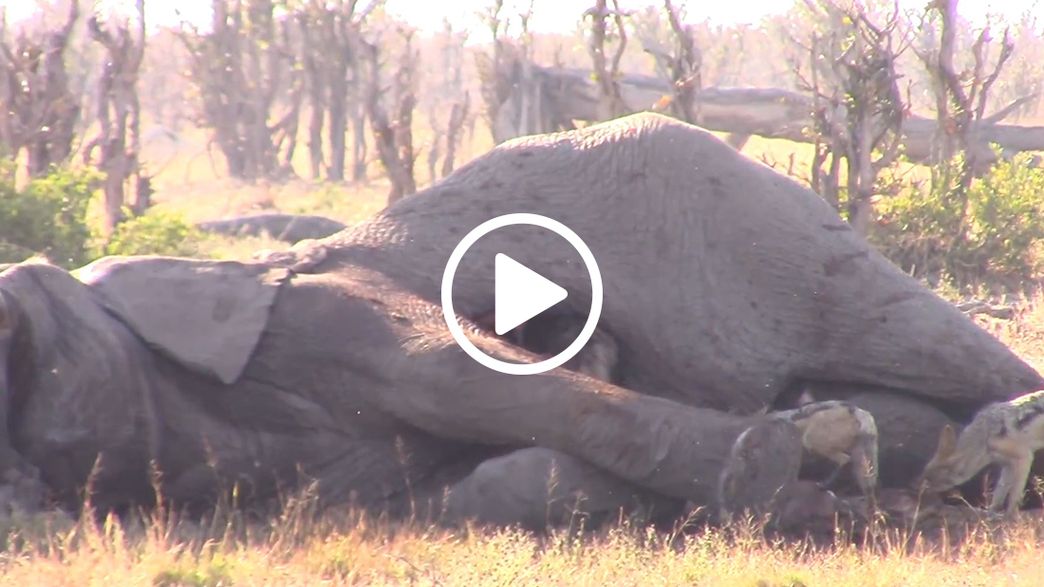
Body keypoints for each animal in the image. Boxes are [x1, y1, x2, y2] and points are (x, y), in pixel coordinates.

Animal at [1, 113, 1040, 527]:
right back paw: (956, 467)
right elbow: (489, 482)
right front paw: (817, 480)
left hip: (740, 219)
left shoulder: (305, 310)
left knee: (897, 331)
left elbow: (451, 372)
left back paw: (1001, 435)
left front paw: (803, 458)